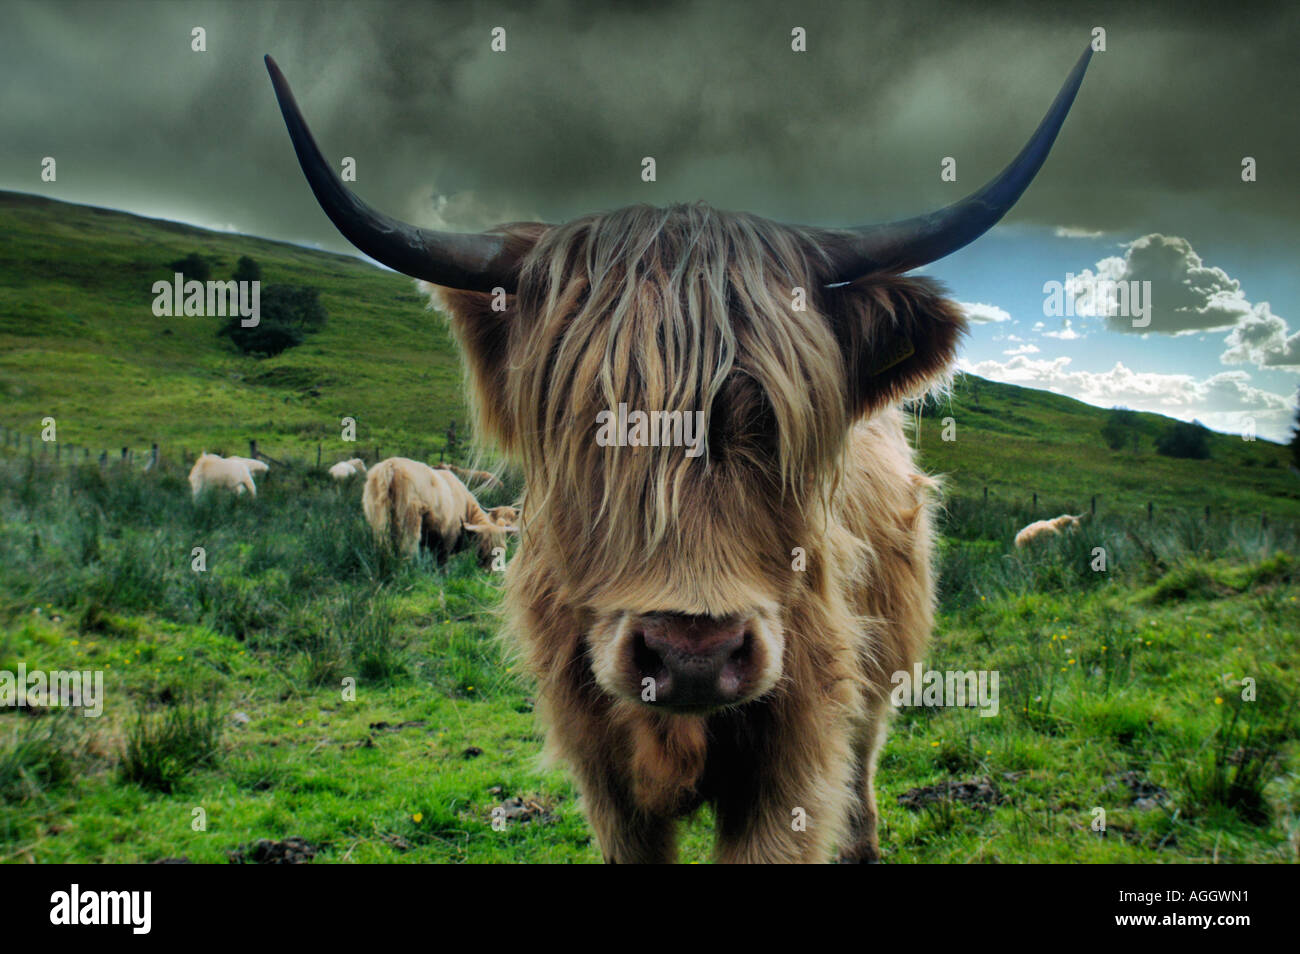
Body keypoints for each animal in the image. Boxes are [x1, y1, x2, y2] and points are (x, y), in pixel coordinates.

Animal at [362, 457, 515, 568]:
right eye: (489, 546)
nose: (490, 571)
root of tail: (391, 465)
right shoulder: (448, 536)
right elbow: (442, 562)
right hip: (409, 521)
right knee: (408, 548)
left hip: (377, 518)